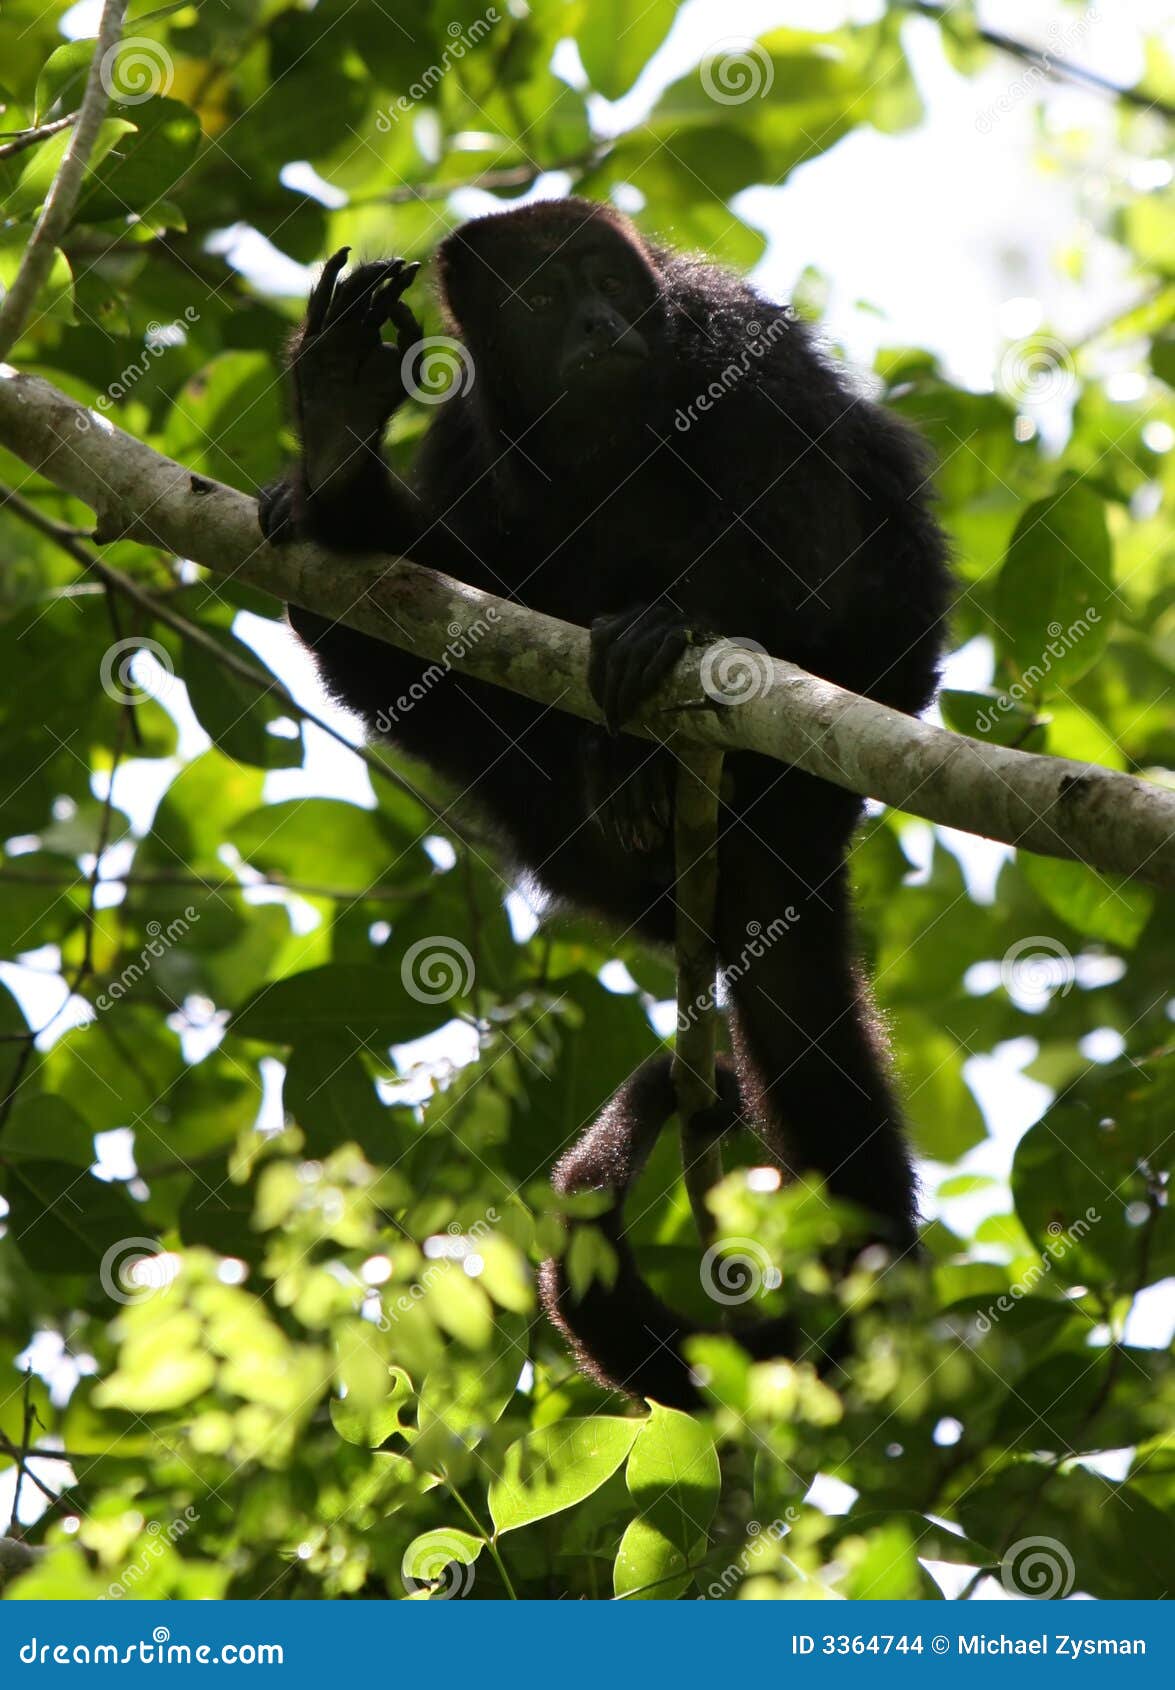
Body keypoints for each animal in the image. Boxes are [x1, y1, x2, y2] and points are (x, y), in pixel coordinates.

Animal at [258, 196, 951, 1409]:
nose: (594, 321)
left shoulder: (737, 345)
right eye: (539, 296)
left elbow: (823, 544)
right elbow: (451, 590)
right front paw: (337, 430)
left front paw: (668, 630)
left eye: (603, 279)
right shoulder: (468, 436)